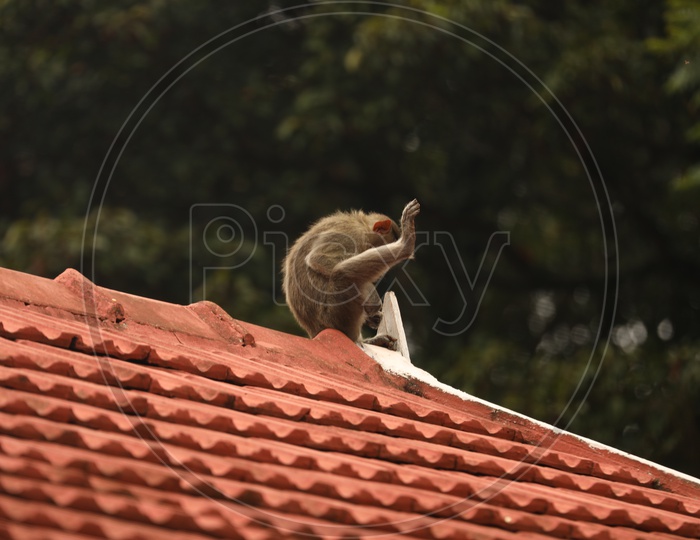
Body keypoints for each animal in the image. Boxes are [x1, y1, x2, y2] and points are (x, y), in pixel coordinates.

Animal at [282, 199, 420, 349]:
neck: (361, 225)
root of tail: (315, 331)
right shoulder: (351, 234)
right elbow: (319, 259)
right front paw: (371, 297)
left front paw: (373, 317)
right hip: (335, 316)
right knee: (342, 274)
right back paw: (405, 245)